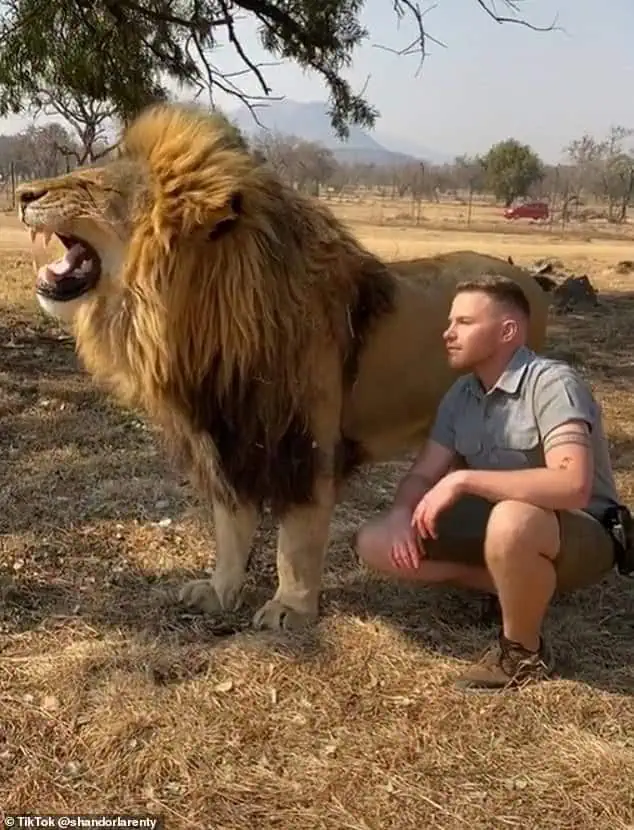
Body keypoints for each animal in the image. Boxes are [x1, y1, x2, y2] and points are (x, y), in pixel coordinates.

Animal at [17, 103, 550, 632]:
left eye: (97, 186)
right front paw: (220, 591)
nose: (22, 193)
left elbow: (296, 539)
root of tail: (526, 279)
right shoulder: (226, 441)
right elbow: (231, 528)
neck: (197, 325)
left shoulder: (303, 443)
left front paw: (290, 608)